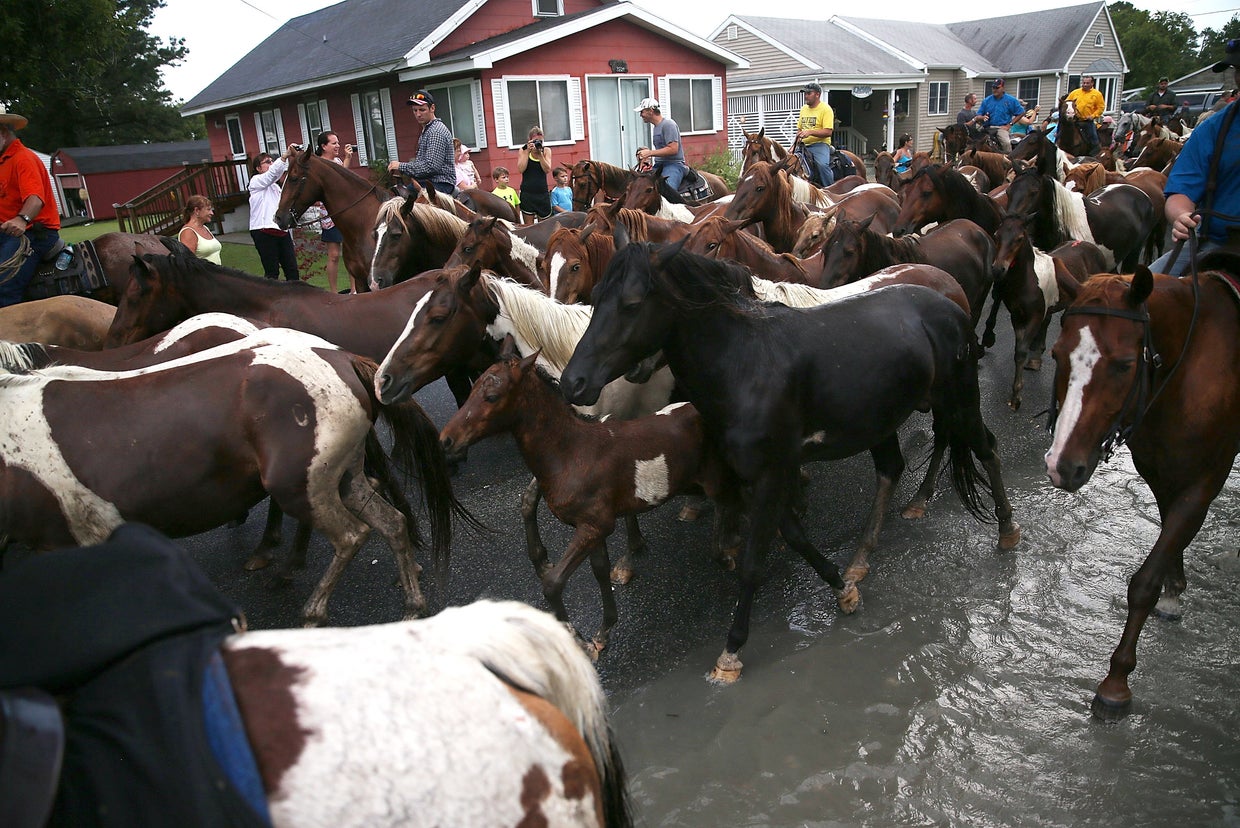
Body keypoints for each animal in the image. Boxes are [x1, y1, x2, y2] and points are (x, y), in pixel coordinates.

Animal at [0, 327, 458, 626]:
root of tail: (342, 358)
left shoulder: (88, 541)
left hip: (300, 487)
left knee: (351, 536)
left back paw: (311, 611)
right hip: (342, 478)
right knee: (391, 522)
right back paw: (411, 605)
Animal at [440, 341, 733, 656]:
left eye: (492, 397)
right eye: (471, 390)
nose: (446, 440)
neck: (572, 453)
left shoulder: (594, 526)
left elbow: (553, 582)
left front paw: (576, 637)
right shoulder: (593, 527)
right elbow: (600, 571)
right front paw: (603, 632)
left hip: (714, 477)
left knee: (727, 502)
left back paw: (726, 554)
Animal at [561, 239, 1021, 682]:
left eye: (632, 302)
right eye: (596, 296)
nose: (573, 382)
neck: (744, 363)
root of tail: (951, 304)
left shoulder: (768, 474)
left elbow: (753, 562)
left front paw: (731, 652)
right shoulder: (762, 474)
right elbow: (796, 537)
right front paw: (841, 588)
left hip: (959, 399)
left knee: (987, 449)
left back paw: (1006, 530)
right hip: (884, 418)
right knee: (894, 468)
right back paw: (865, 554)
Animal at [1045, 266, 1240, 720]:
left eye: (1124, 365)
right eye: (1057, 356)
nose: (1062, 465)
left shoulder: (1203, 482)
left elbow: (1144, 581)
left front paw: (1116, 684)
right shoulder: (1158, 471)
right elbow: (1170, 532)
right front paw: (1174, 588)